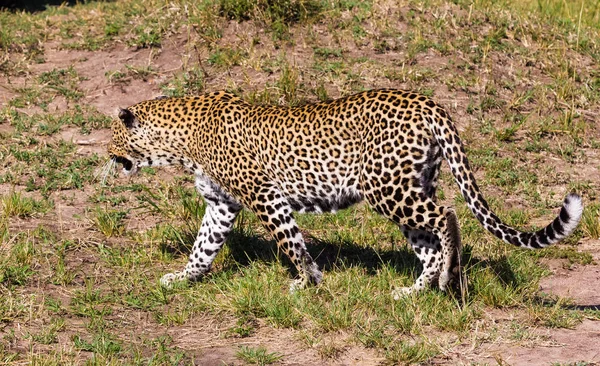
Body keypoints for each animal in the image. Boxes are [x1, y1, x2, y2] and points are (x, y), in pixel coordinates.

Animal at [106, 88, 580, 298]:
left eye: (113, 138)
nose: (107, 160)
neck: (178, 142)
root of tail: (428, 101)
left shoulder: (264, 196)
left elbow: (291, 242)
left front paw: (306, 281)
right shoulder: (222, 204)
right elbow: (202, 247)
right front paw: (183, 277)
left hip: (387, 188)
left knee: (447, 215)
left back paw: (448, 276)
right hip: (410, 186)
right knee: (428, 245)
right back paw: (413, 292)